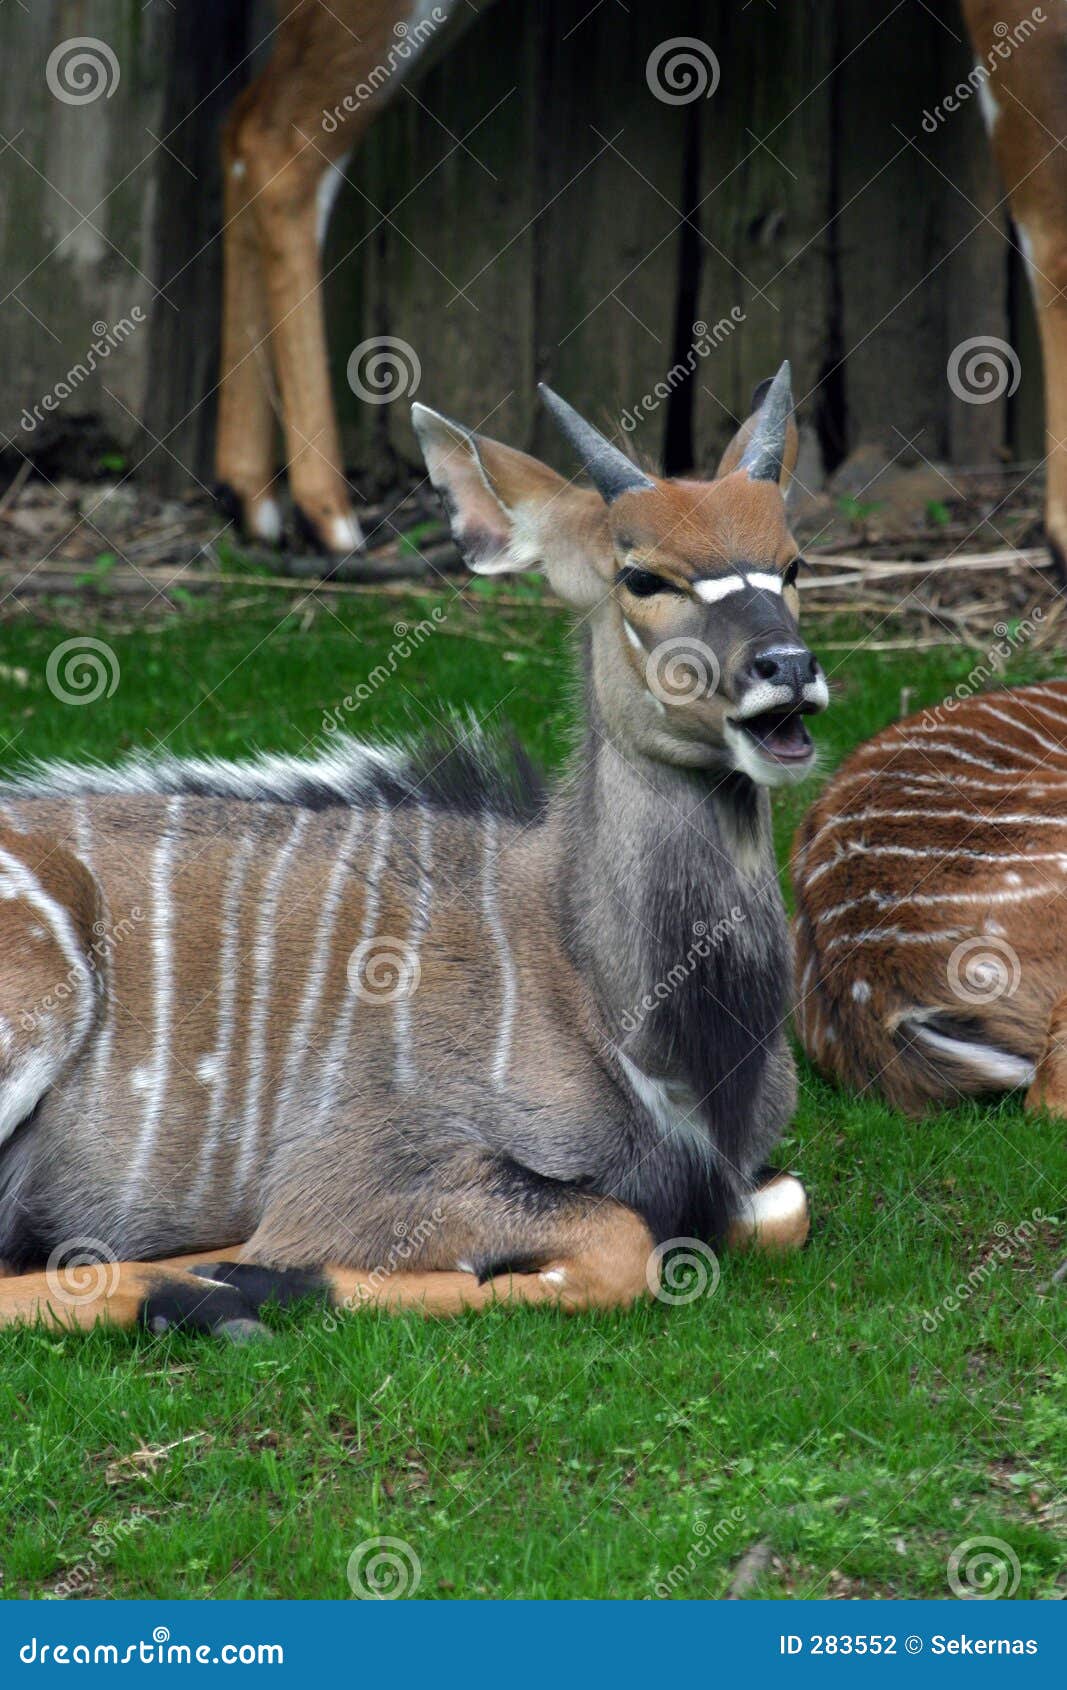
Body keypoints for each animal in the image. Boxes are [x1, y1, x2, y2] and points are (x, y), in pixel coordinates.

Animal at [0, 368, 826, 1337]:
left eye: (792, 563)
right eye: (642, 575)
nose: (788, 667)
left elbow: (781, 1210)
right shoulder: (362, 1171)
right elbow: (621, 1244)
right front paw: (249, 1280)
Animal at [217, 1, 1067, 576]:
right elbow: (1045, 222)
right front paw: (1059, 540)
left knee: (250, 122)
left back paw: (250, 499)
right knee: (280, 134)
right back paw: (329, 518)